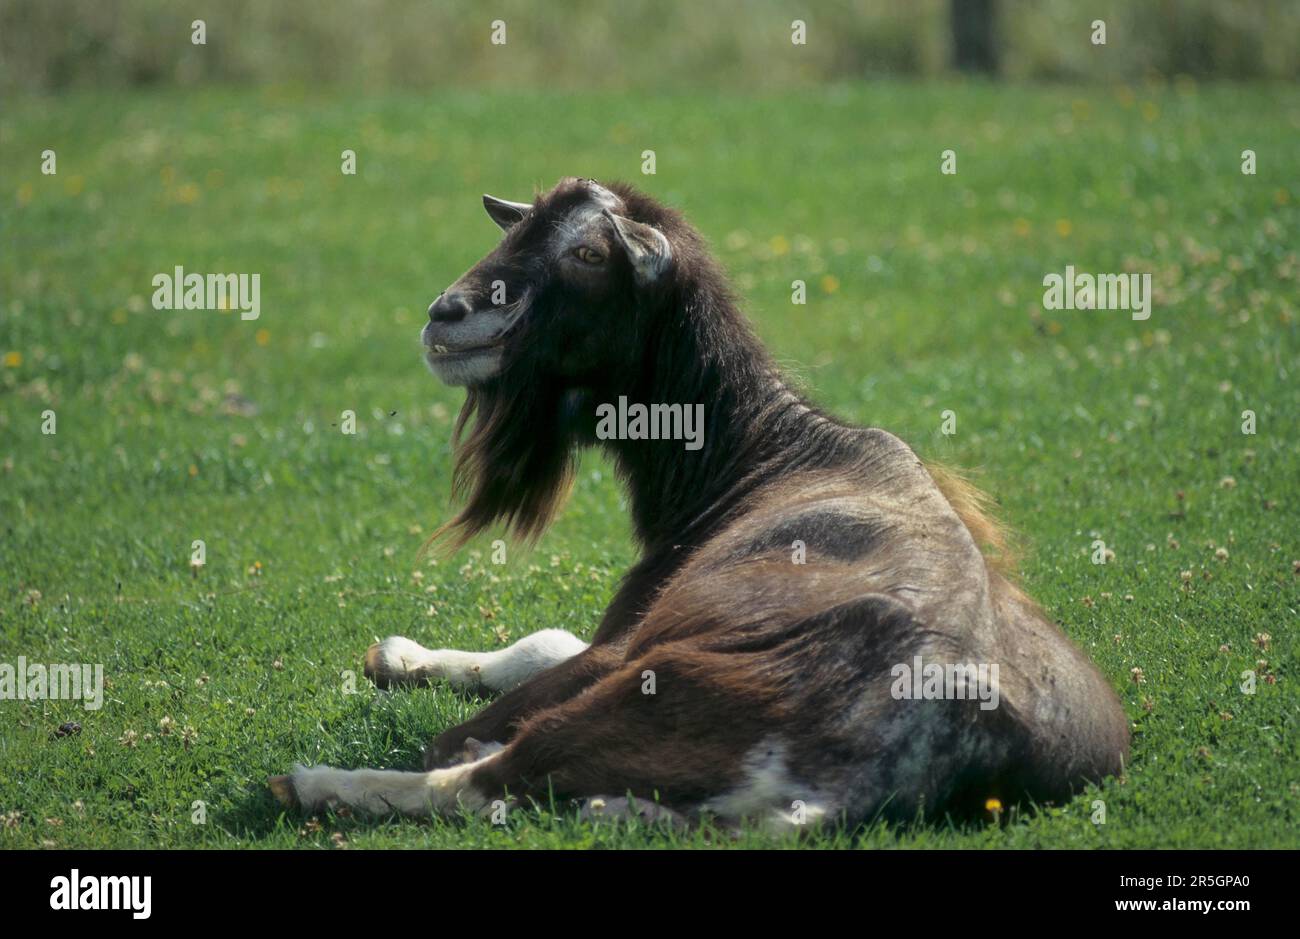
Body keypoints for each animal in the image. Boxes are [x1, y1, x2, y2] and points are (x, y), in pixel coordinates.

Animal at [269, 177, 1129, 829]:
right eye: (522, 232)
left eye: (588, 252)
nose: (447, 314)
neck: (766, 454)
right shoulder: (625, 634)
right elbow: (545, 640)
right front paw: (399, 654)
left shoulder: (629, 643)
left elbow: (521, 679)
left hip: (652, 689)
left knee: (482, 775)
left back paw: (315, 782)